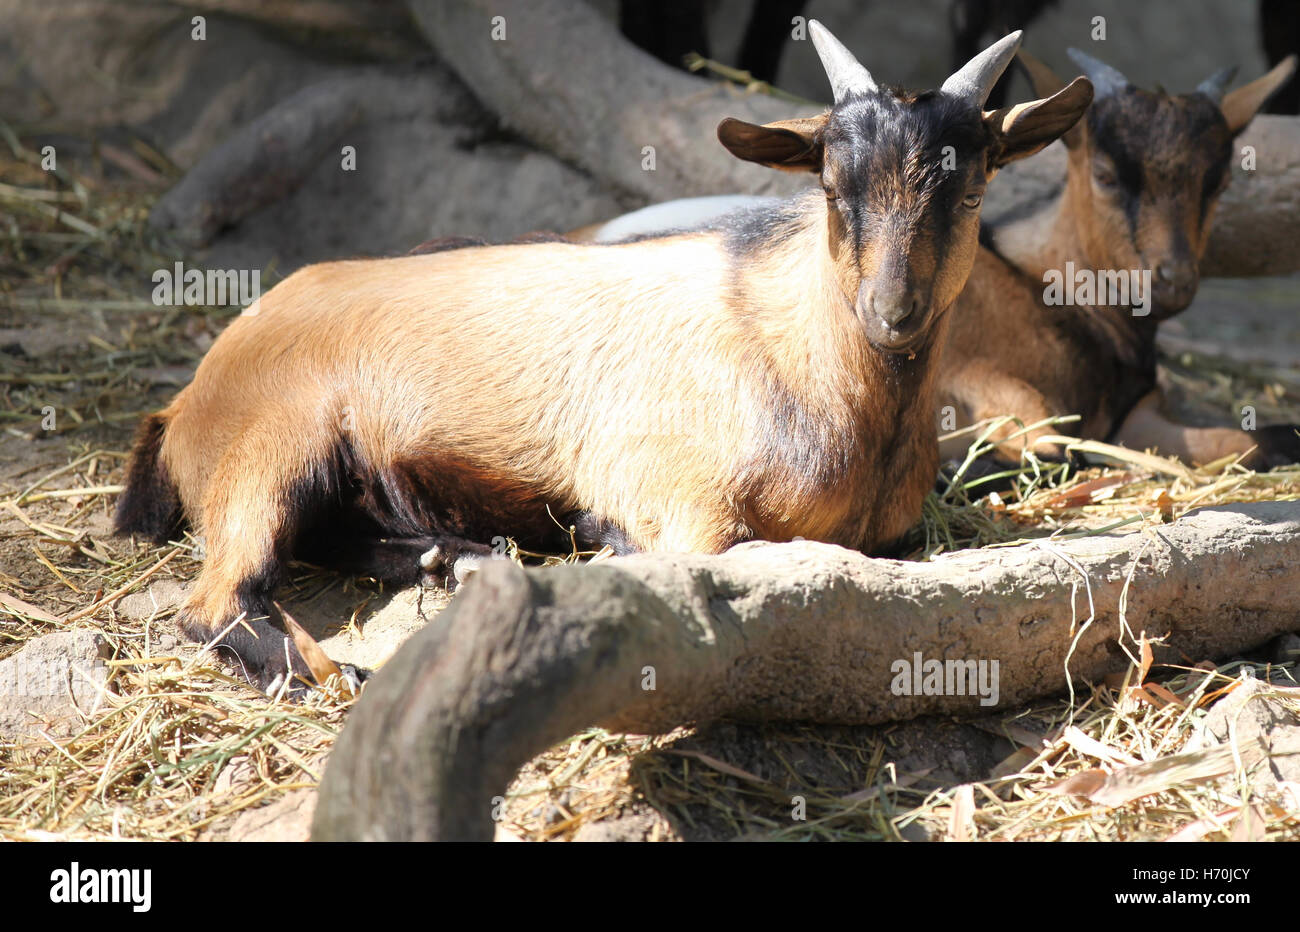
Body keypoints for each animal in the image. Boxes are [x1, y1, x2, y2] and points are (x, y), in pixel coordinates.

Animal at [113, 22, 1091, 691]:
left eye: (973, 187)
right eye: (829, 184)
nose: (893, 313)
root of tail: (187, 398)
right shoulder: (680, 503)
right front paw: (601, 543)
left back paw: (456, 562)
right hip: (275, 444)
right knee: (215, 601)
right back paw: (335, 672)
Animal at [939, 48, 1299, 471]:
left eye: (1219, 184)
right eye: (1105, 176)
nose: (1173, 281)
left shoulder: (1134, 418)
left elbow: (1255, 440)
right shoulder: (985, 379)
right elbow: (1055, 454)